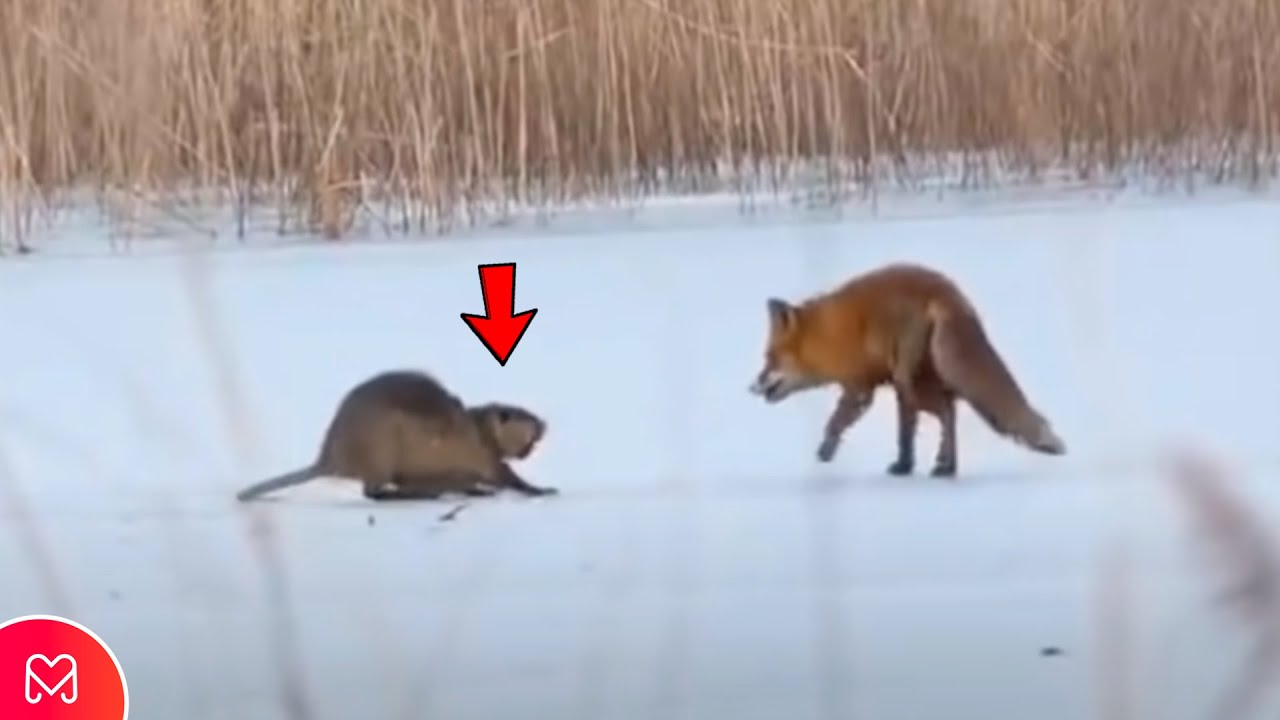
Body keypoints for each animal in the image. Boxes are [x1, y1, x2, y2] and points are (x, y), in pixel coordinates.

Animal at [748, 262, 1066, 478]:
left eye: (770, 358)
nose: (751, 387)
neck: (824, 338)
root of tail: (947, 292)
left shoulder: (860, 387)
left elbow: (836, 423)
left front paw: (826, 451)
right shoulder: (881, 385)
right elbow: (905, 433)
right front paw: (905, 463)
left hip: (910, 382)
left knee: (946, 412)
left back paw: (937, 466)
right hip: (915, 382)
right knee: (949, 412)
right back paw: (943, 466)